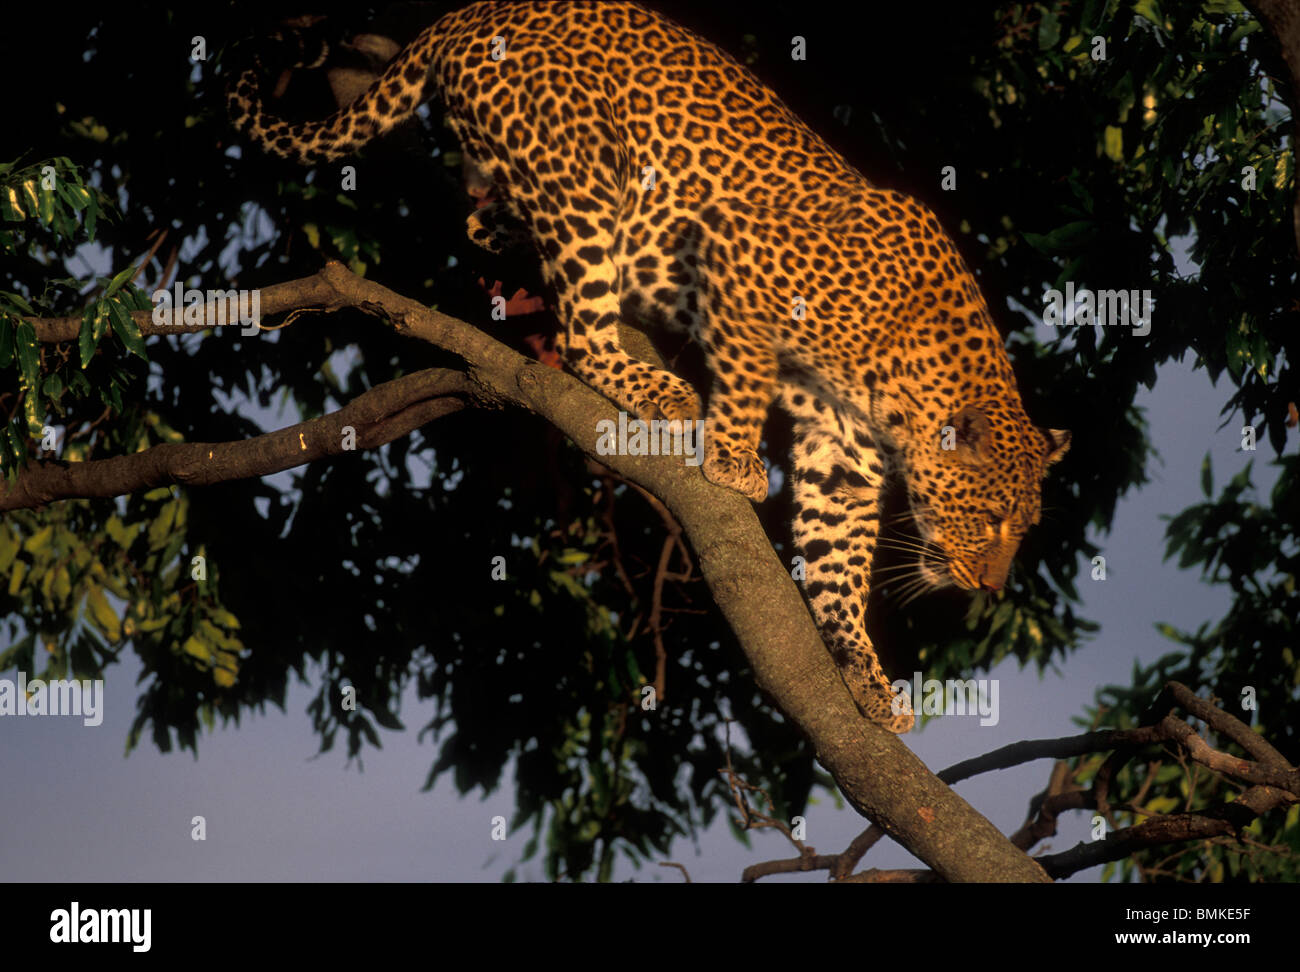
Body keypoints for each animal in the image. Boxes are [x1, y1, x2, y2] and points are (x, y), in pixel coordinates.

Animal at [226, 0, 1071, 733]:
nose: (989, 585)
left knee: (480, 223)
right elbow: (745, 377)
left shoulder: (845, 453)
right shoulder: (738, 260)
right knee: (579, 327)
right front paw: (733, 460)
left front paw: (865, 677)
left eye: (1021, 529)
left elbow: (837, 563)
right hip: (577, 170)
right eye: (990, 519)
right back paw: (652, 382)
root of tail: (488, 7)